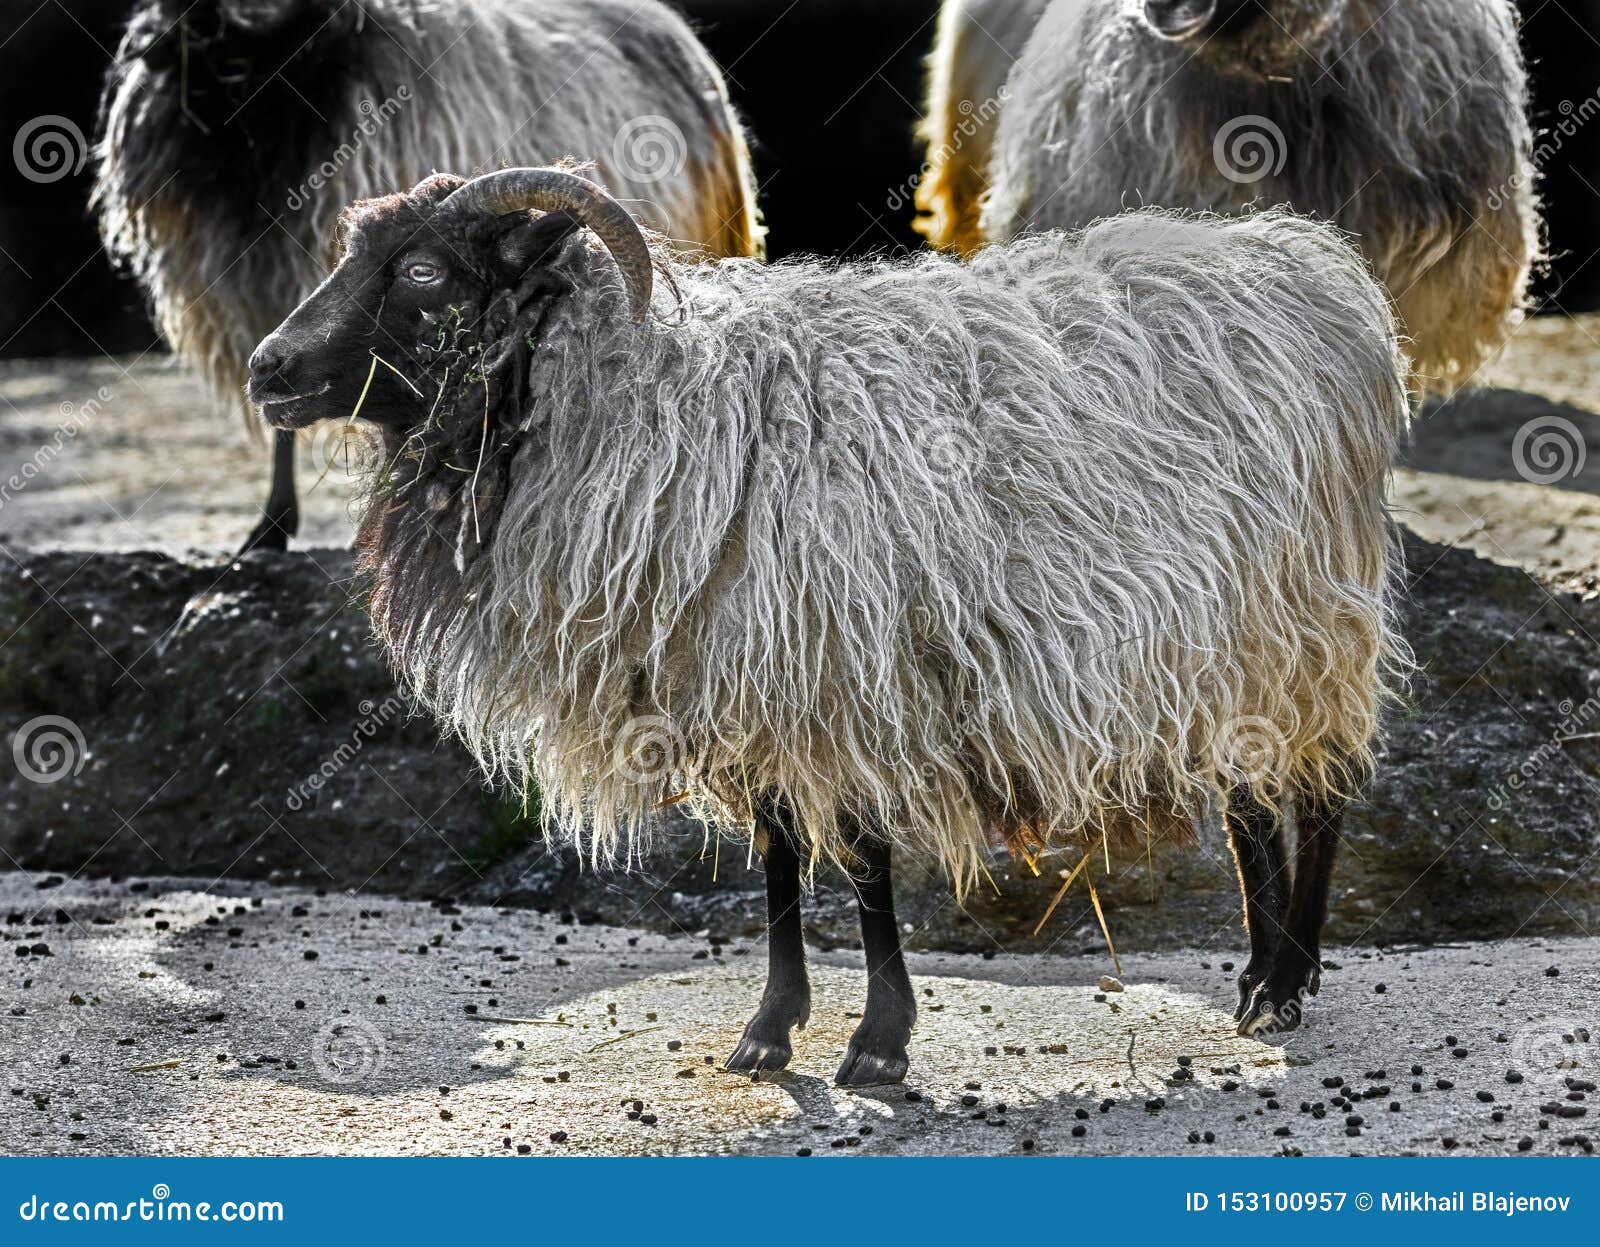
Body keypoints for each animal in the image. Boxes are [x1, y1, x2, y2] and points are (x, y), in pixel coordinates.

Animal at [246, 167, 1409, 1083]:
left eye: (424, 273)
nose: (268, 368)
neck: (644, 411)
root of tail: (1308, 264)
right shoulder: (745, 670)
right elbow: (774, 856)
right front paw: (770, 1030)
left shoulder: (841, 664)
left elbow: (862, 861)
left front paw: (879, 1041)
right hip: (1224, 637)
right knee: (1251, 802)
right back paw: (1256, 978)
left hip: (1303, 613)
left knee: (1319, 791)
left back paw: (1289, 981)